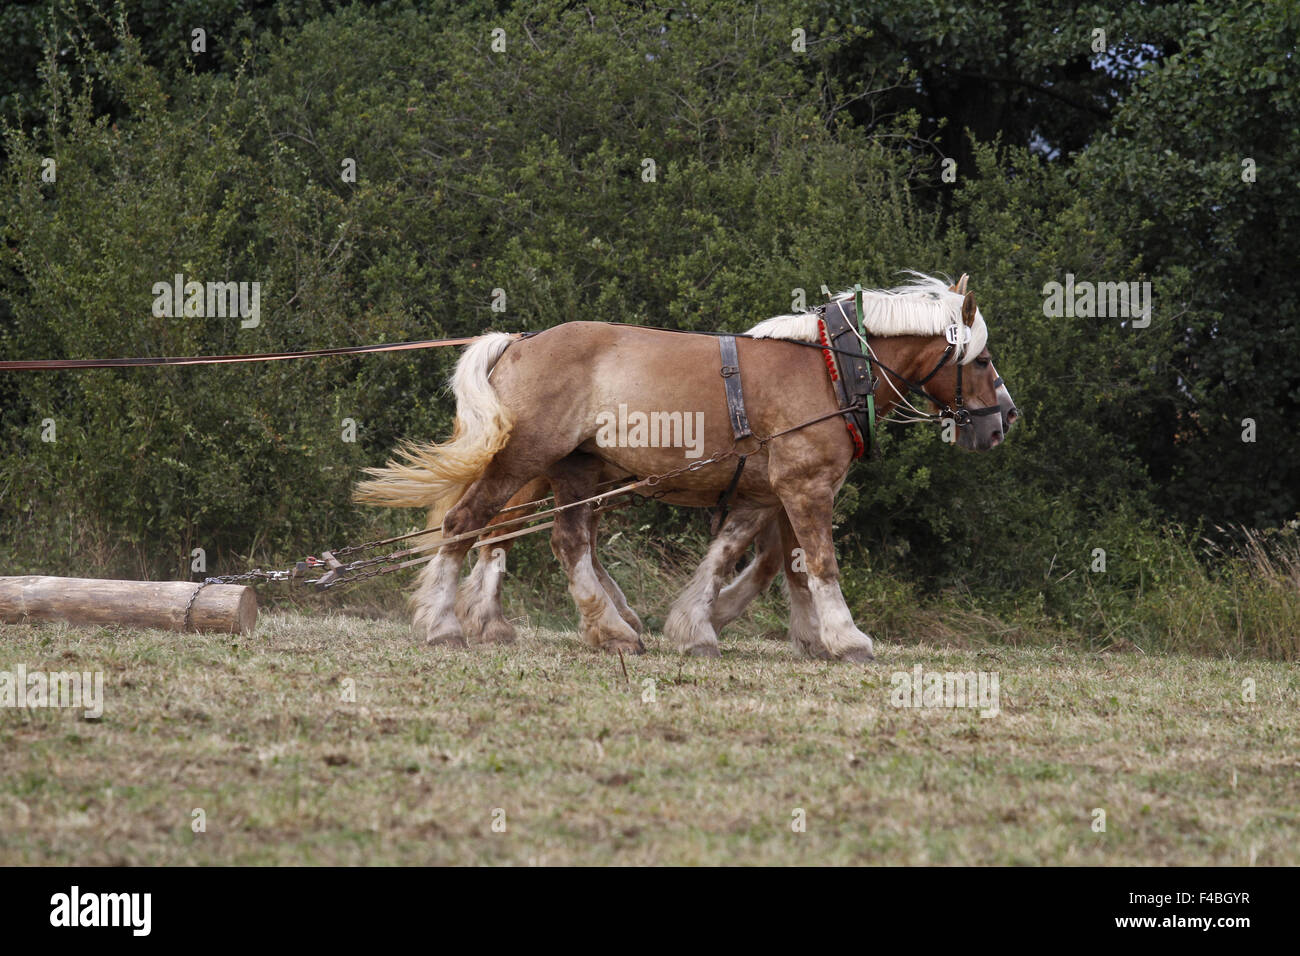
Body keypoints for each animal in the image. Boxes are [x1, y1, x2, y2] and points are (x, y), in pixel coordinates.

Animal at [355, 272, 1016, 661]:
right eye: (982, 360)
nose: (1003, 420)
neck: (830, 370)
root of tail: (519, 342)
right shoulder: (805, 485)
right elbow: (818, 562)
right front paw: (845, 636)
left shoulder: (768, 490)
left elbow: (760, 561)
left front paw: (719, 624)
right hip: (524, 459)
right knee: (469, 525)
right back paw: (447, 623)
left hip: (576, 469)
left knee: (568, 540)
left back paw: (610, 628)